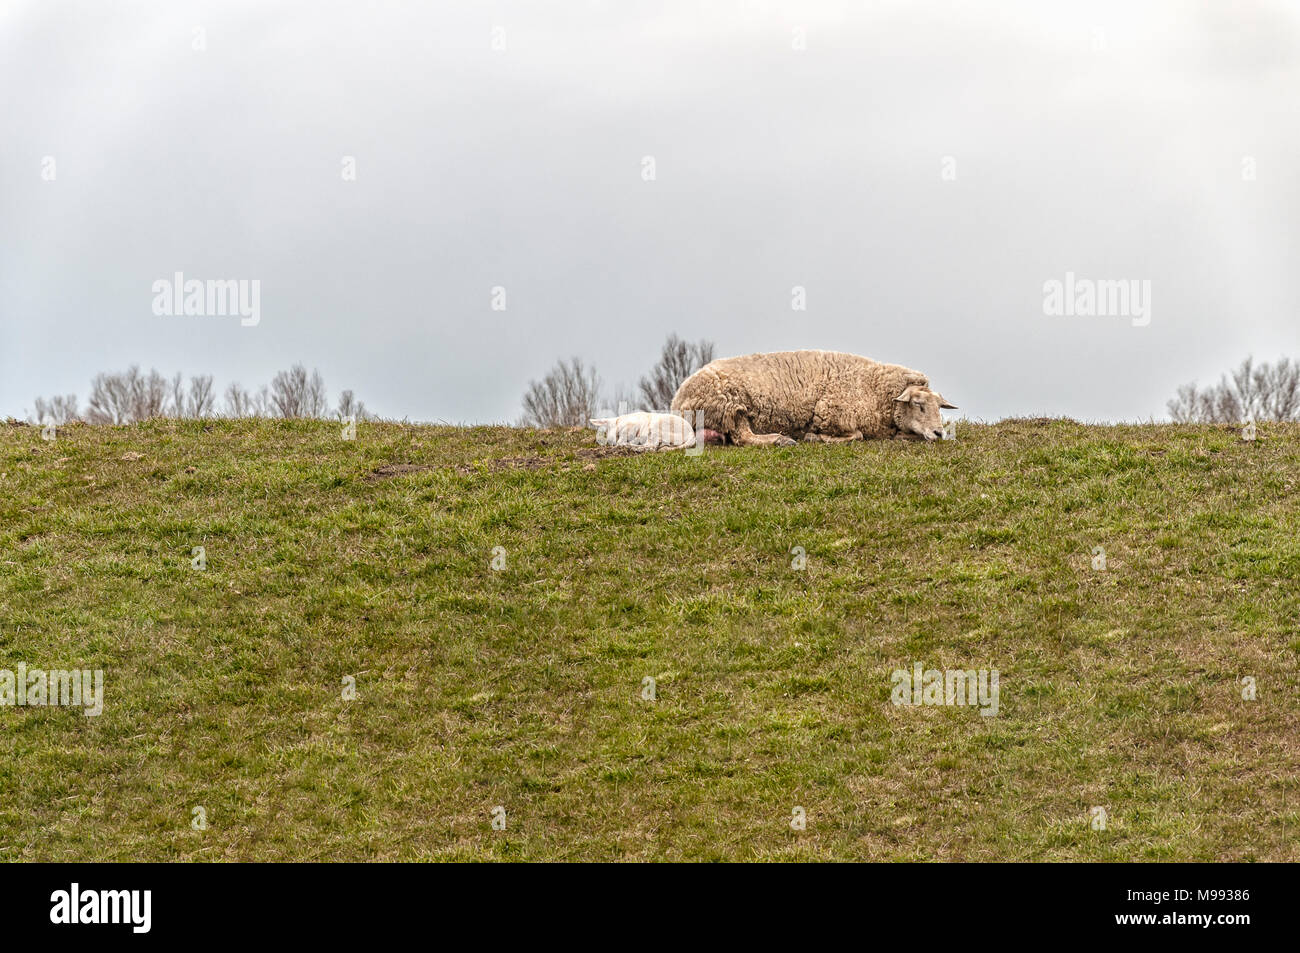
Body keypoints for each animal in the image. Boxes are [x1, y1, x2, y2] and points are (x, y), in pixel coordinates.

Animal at [669, 349, 957, 446]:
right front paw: (812, 436)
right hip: (732, 405)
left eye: (939, 408)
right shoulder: (834, 414)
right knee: (743, 438)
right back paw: (781, 440)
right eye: (918, 405)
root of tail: (677, 401)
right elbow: (856, 435)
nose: (939, 433)